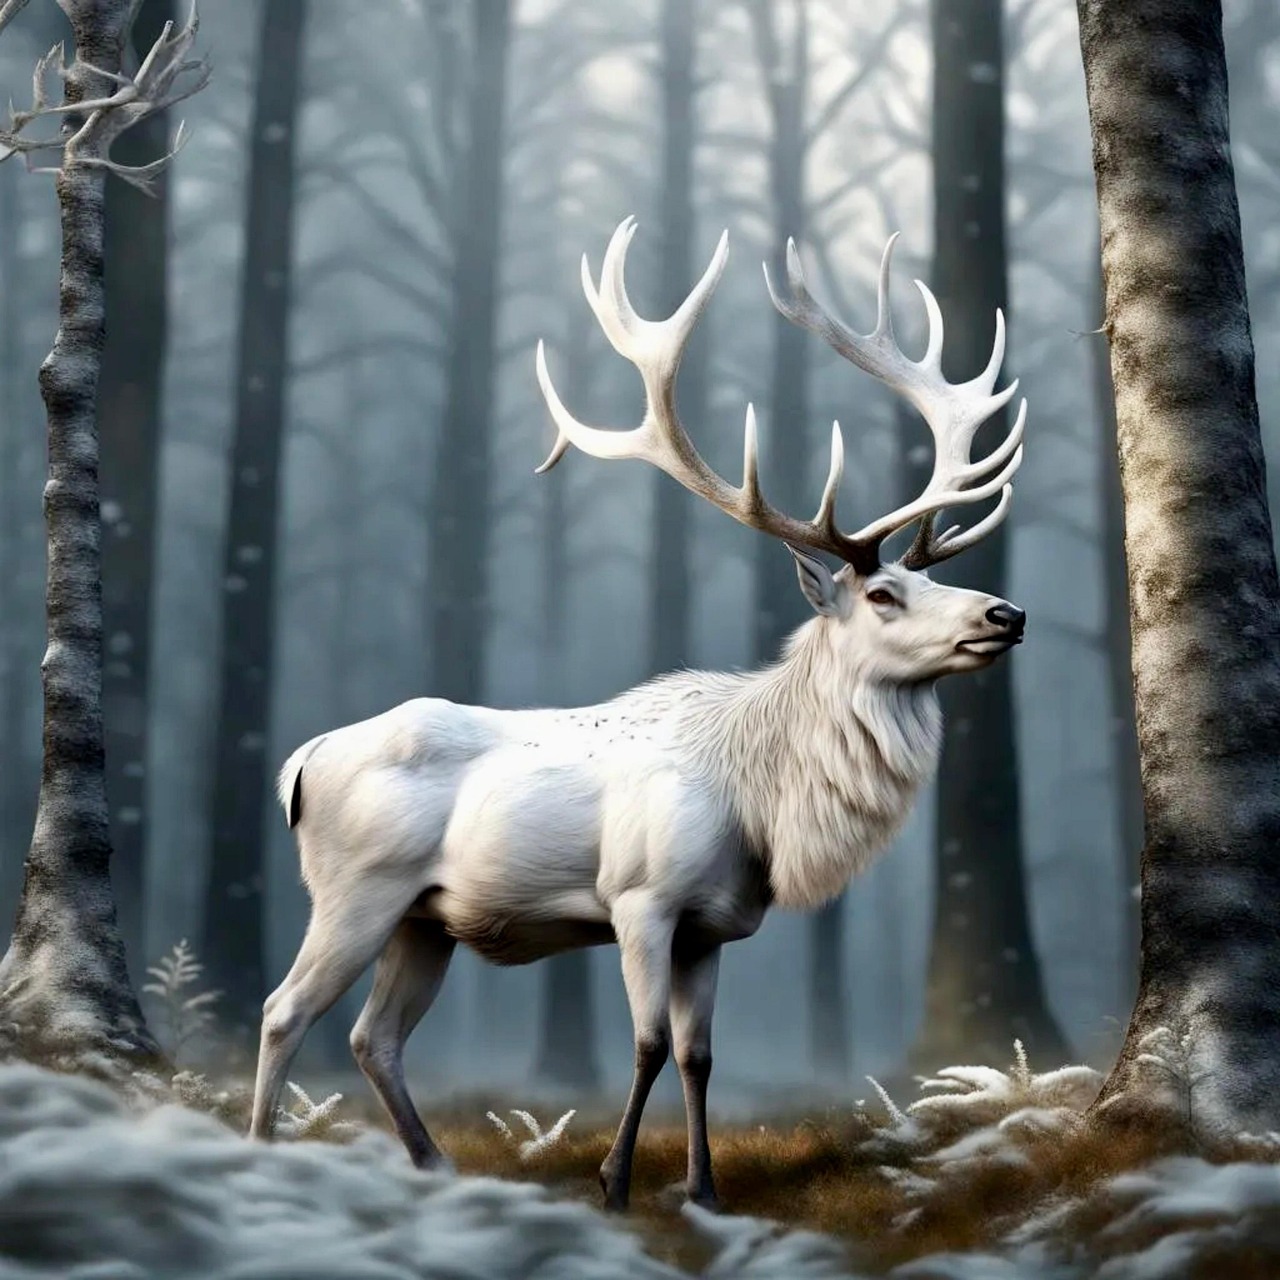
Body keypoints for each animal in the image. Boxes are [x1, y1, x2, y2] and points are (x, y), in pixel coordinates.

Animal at [248, 217, 1029, 1214]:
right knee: (285, 1010)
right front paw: (616, 1184)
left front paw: (703, 1190)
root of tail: (300, 762)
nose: (1005, 614)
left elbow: (699, 1056)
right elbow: (650, 1044)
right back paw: (258, 1152)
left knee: (372, 1036)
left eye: (928, 581)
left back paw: (435, 1165)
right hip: (356, 885)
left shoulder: (711, 928)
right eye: (884, 593)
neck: (761, 807)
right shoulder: (641, 898)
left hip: (425, 917)